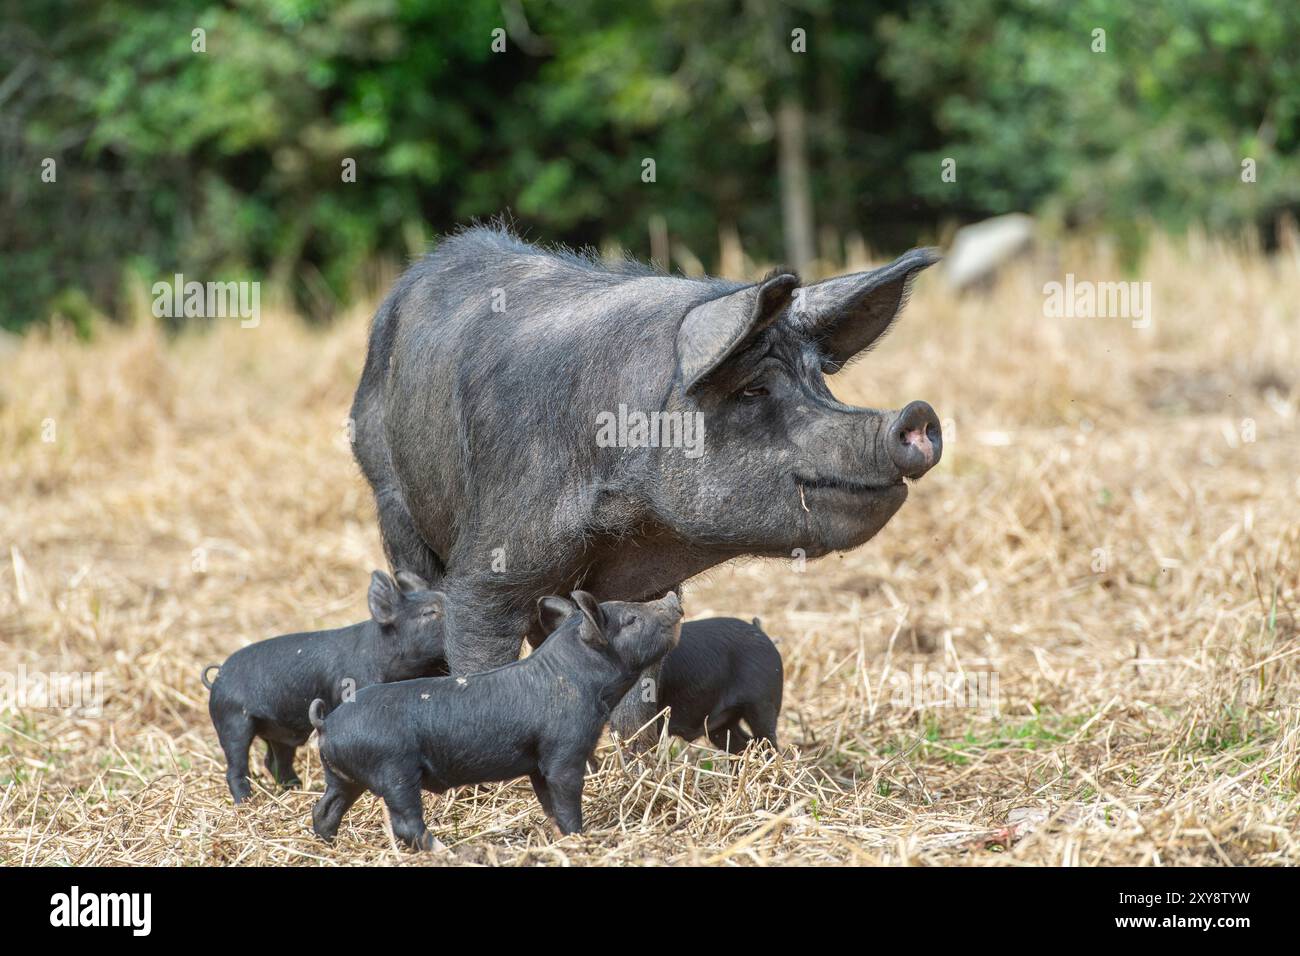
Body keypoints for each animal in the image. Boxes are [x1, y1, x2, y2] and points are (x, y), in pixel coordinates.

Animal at [202, 570, 448, 803]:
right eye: (429, 612)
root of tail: (217, 678)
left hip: (276, 731)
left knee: (274, 761)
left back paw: (295, 789)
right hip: (232, 718)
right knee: (235, 765)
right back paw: (246, 802)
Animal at [309, 591, 682, 848]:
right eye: (631, 618)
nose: (671, 598)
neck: (574, 675)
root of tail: (327, 724)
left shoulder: (537, 763)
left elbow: (548, 802)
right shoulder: (564, 749)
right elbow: (565, 797)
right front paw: (578, 837)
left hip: (342, 777)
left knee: (324, 810)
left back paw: (329, 845)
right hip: (393, 770)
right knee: (406, 824)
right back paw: (448, 851)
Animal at [350, 224, 942, 738]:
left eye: (820, 380)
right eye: (752, 389)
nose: (916, 414)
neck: (631, 522)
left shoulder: (641, 586)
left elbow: (640, 688)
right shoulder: (490, 566)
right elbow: (478, 647)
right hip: (388, 490)